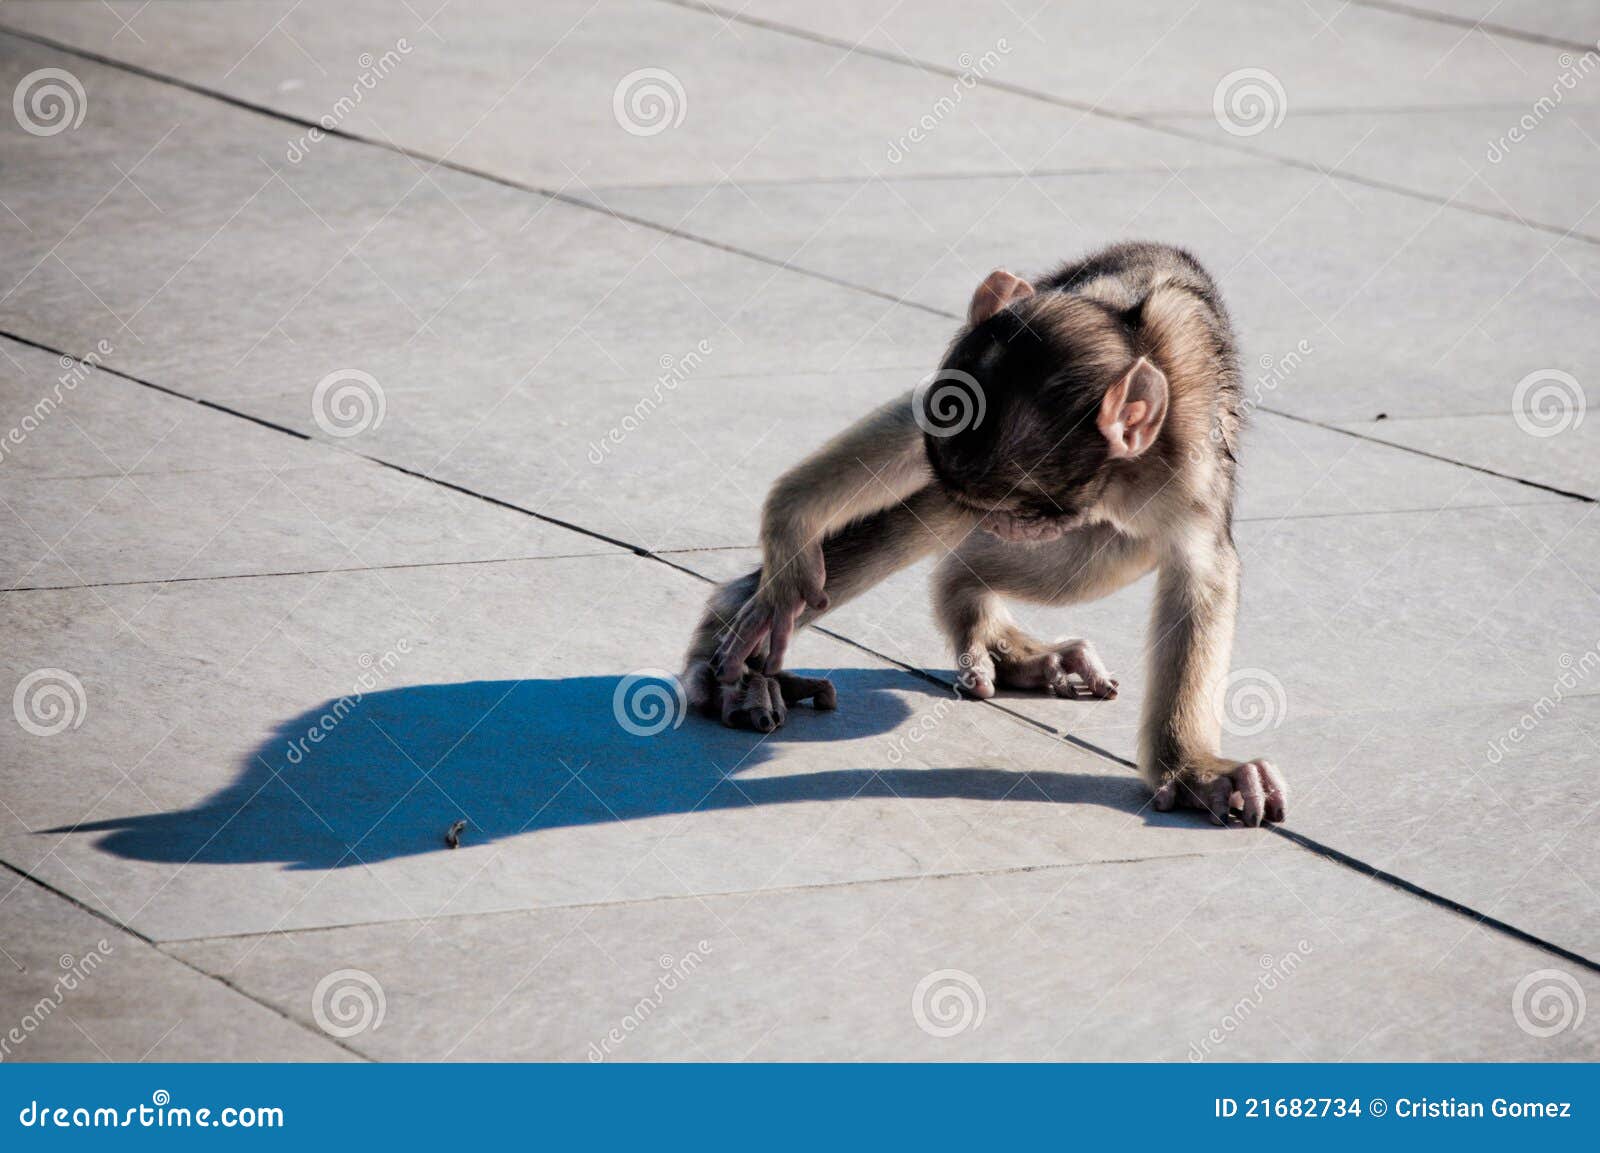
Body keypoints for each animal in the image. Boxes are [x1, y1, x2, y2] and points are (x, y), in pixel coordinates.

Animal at [680, 242, 1286, 827]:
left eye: (1022, 513)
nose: (997, 523)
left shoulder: (1184, 469)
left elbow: (1200, 571)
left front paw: (1191, 768)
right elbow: (914, 426)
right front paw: (789, 524)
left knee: (1119, 549)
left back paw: (975, 607)